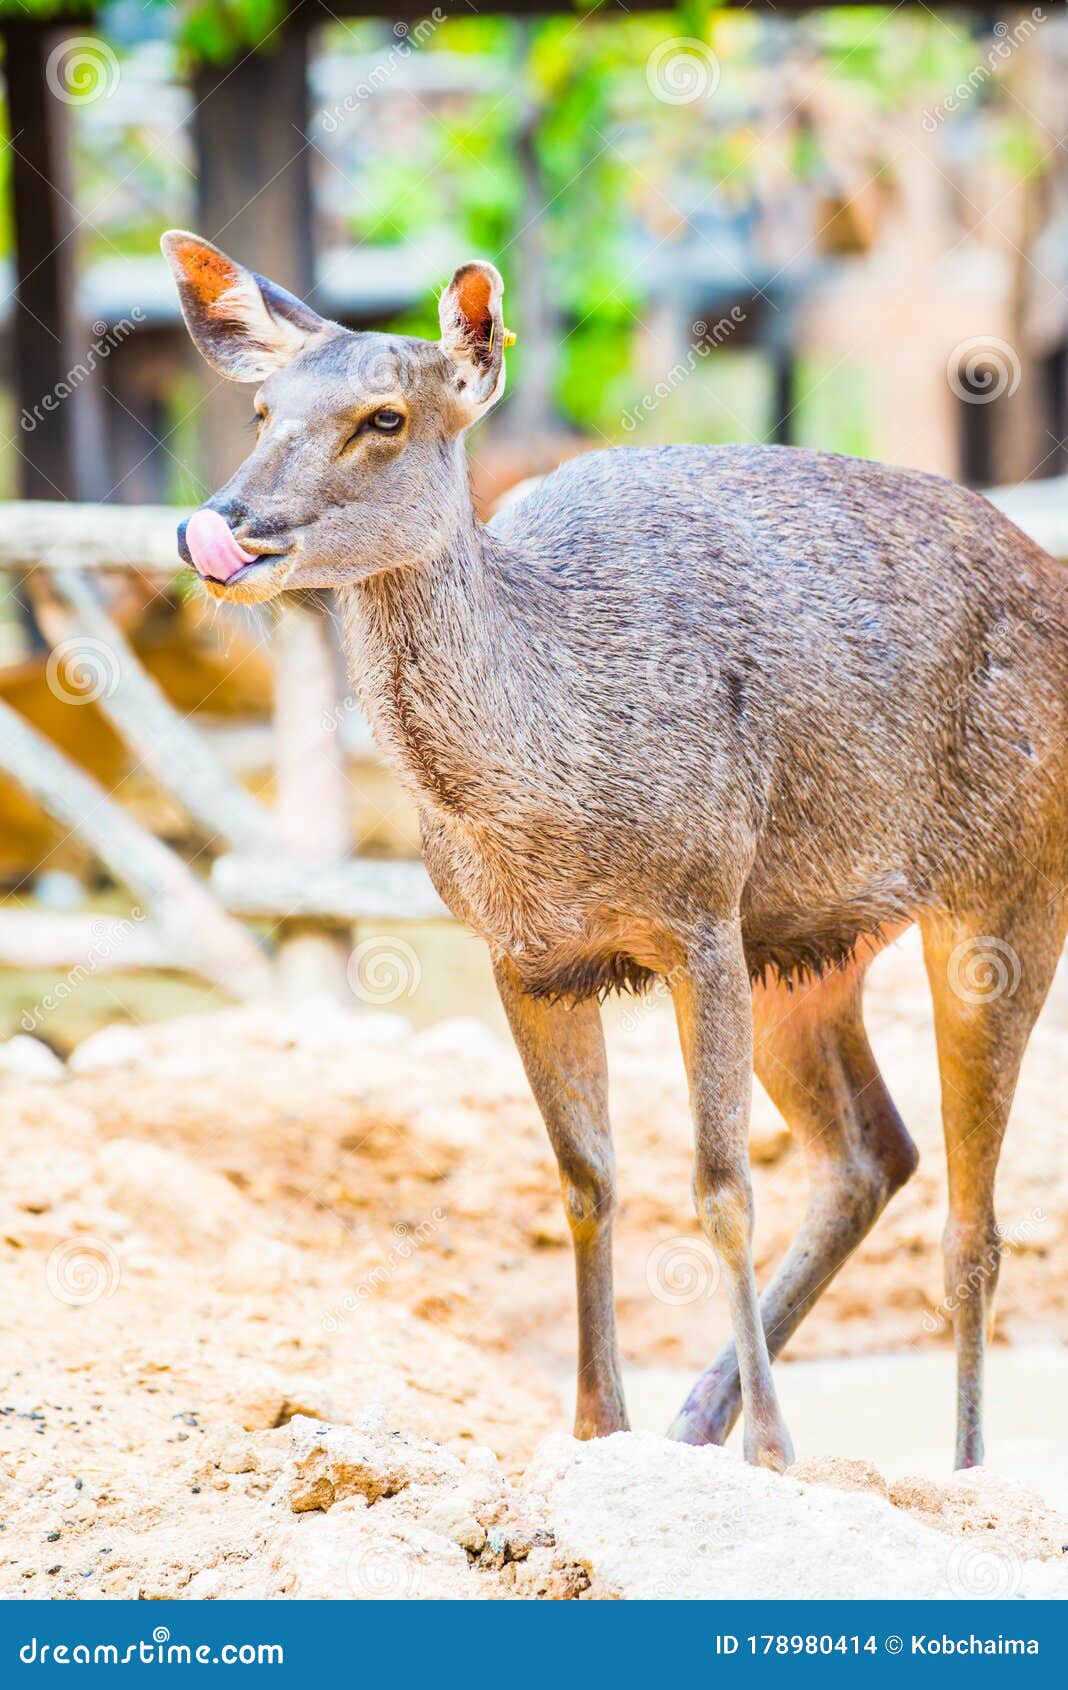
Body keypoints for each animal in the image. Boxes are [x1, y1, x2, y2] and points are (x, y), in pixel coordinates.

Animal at [163, 229, 1067, 1473]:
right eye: (259, 407)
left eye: (385, 417)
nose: (225, 525)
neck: (550, 804)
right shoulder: (525, 955)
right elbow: (586, 1179)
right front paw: (601, 1425)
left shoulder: (700, 910)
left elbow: (721, 1188)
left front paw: (773, 1451)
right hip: (811, 944)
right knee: (872, 1153)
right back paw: (699, 1412)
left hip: (1007, 887)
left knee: (973, 1222)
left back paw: (964, 1467)